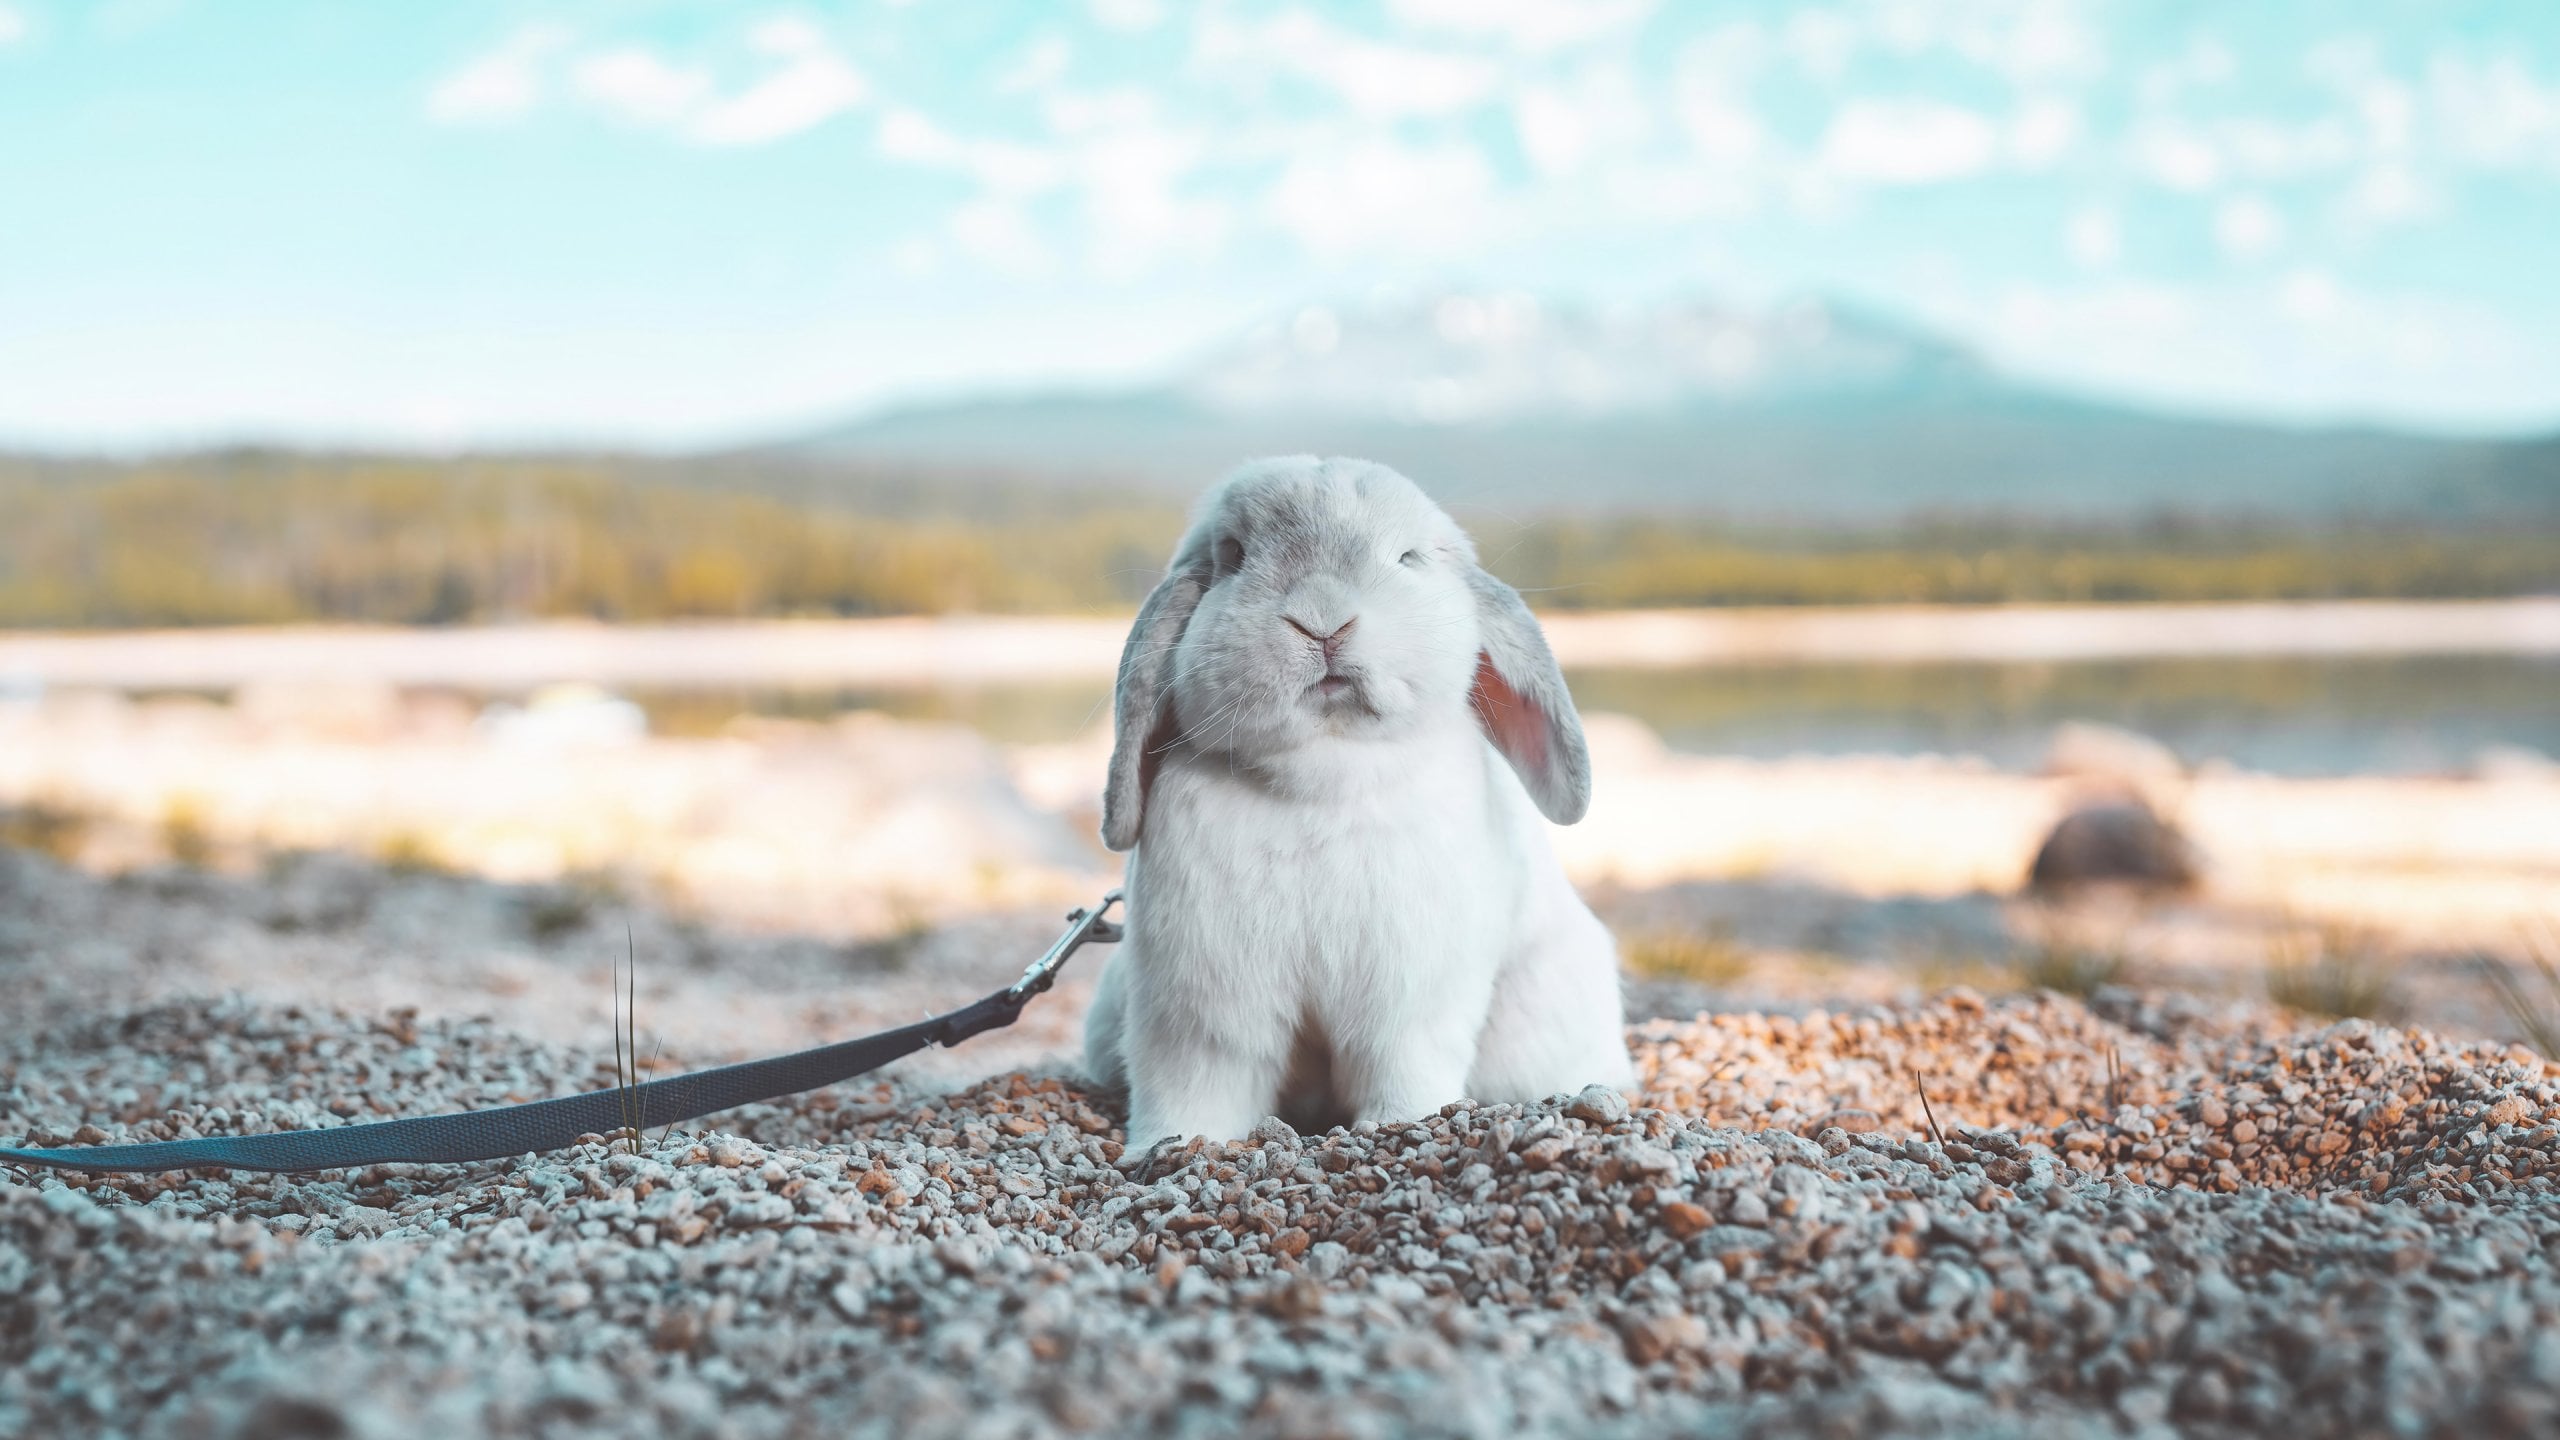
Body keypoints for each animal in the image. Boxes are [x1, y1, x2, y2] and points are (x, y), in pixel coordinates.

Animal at [1083, 455, 1631, 1148]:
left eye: (1407, 557)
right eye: (1232, 555)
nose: (1324, 618)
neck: (1321, 777)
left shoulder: (1407, 1003)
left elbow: (1400, 1066)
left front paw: (1402, 1124)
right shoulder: (1203, 1010)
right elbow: (1195, 1085)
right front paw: (1172, 1145)